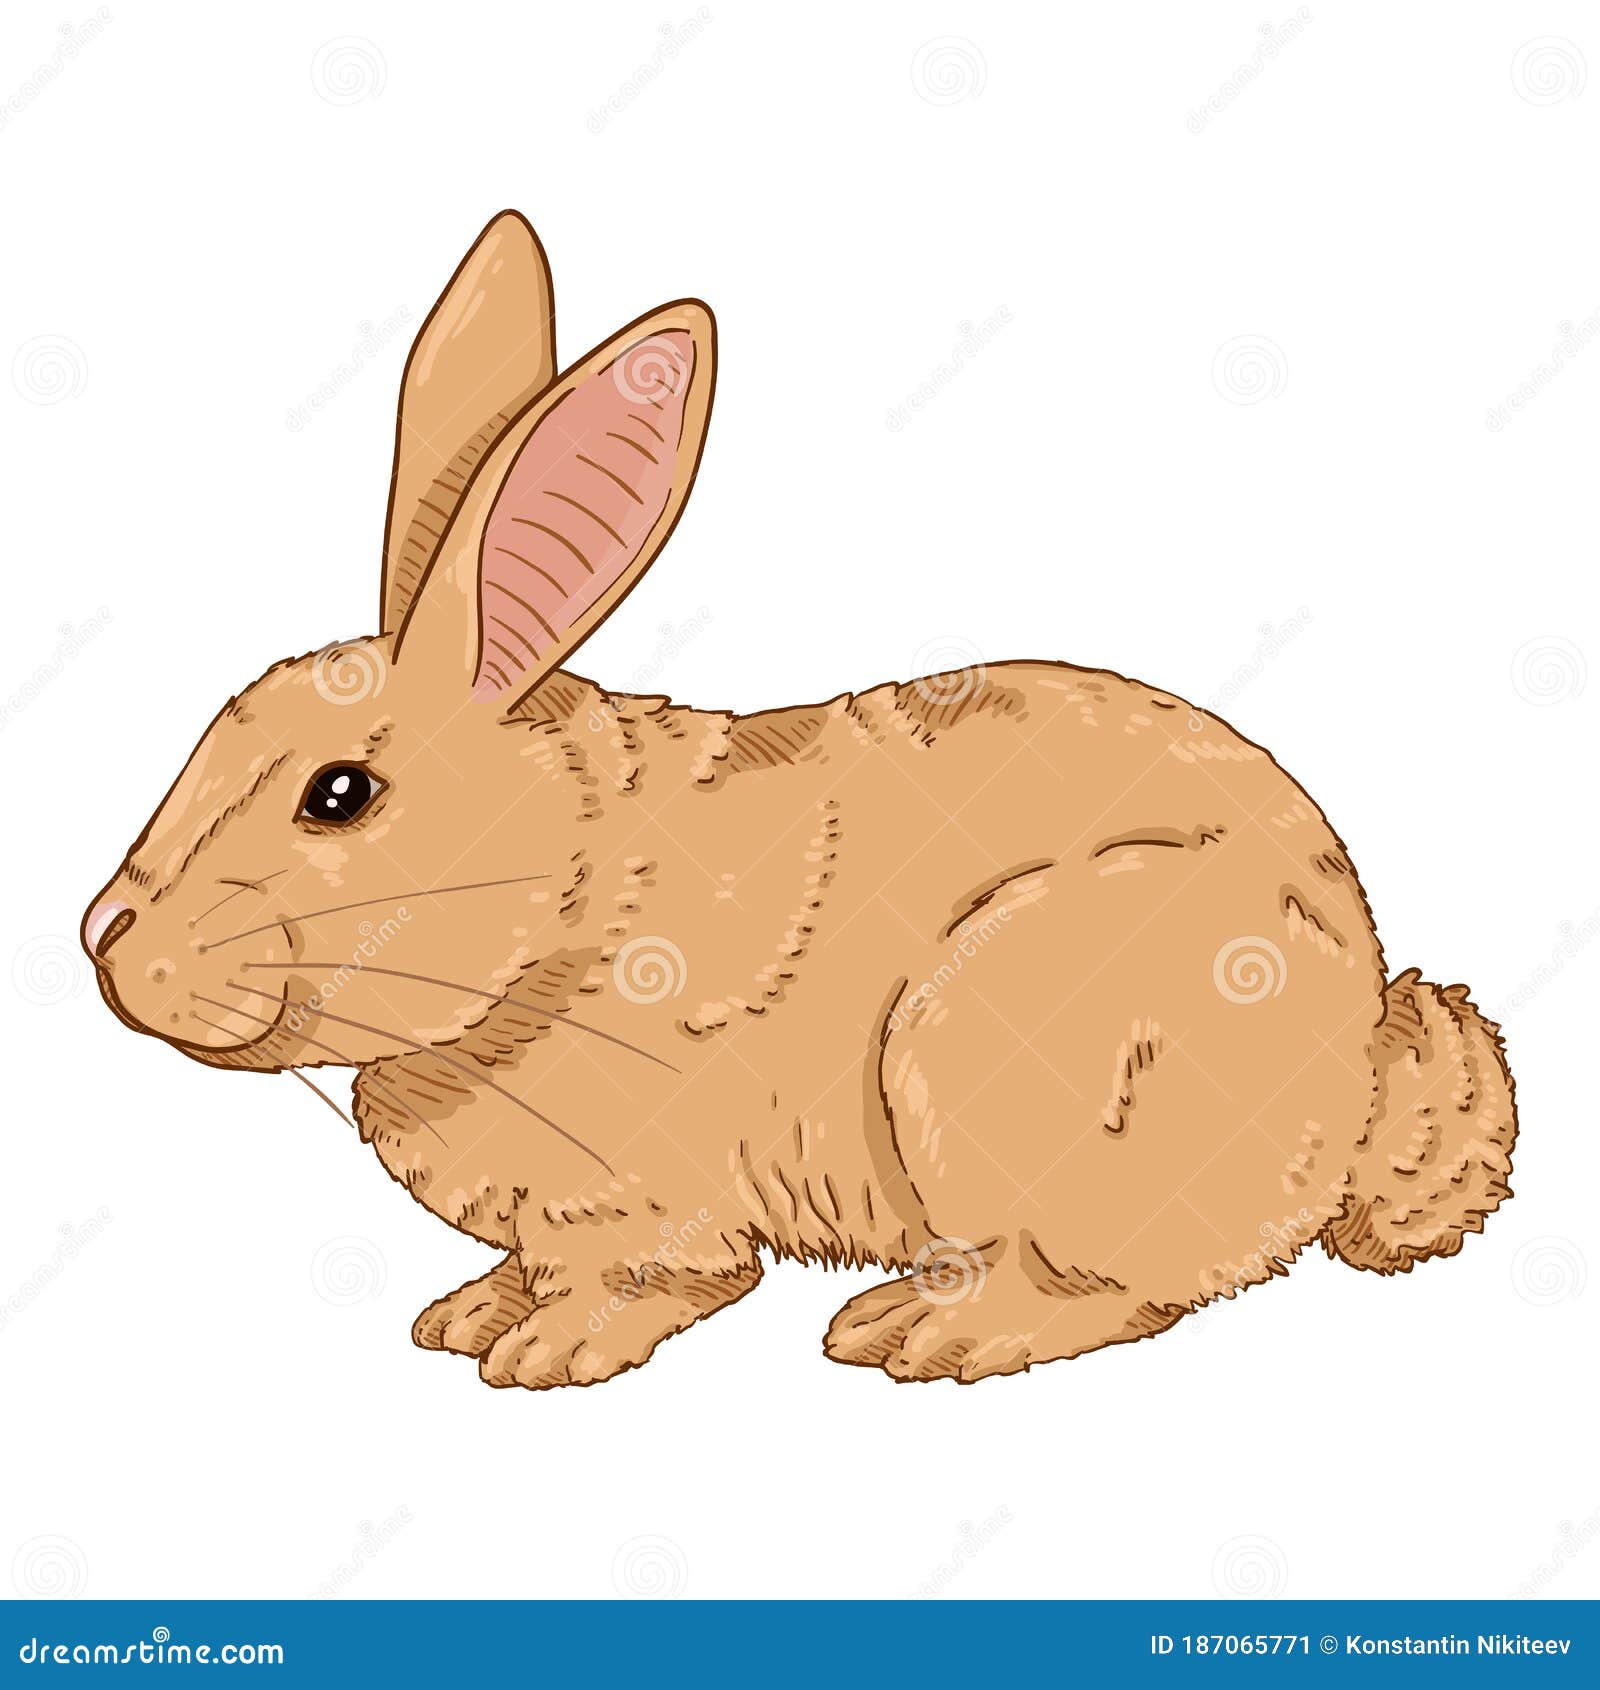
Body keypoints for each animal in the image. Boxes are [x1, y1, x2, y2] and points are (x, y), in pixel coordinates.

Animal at [81, 211, 1517, 1390]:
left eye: (340, 794)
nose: (107, 942)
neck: (565, 907)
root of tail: (1356, 1084)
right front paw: (469, 1316)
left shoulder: (646, 1203)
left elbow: (659, 1280)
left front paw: (542, 1353)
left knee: (1121, 1285)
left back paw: (925, 1328)